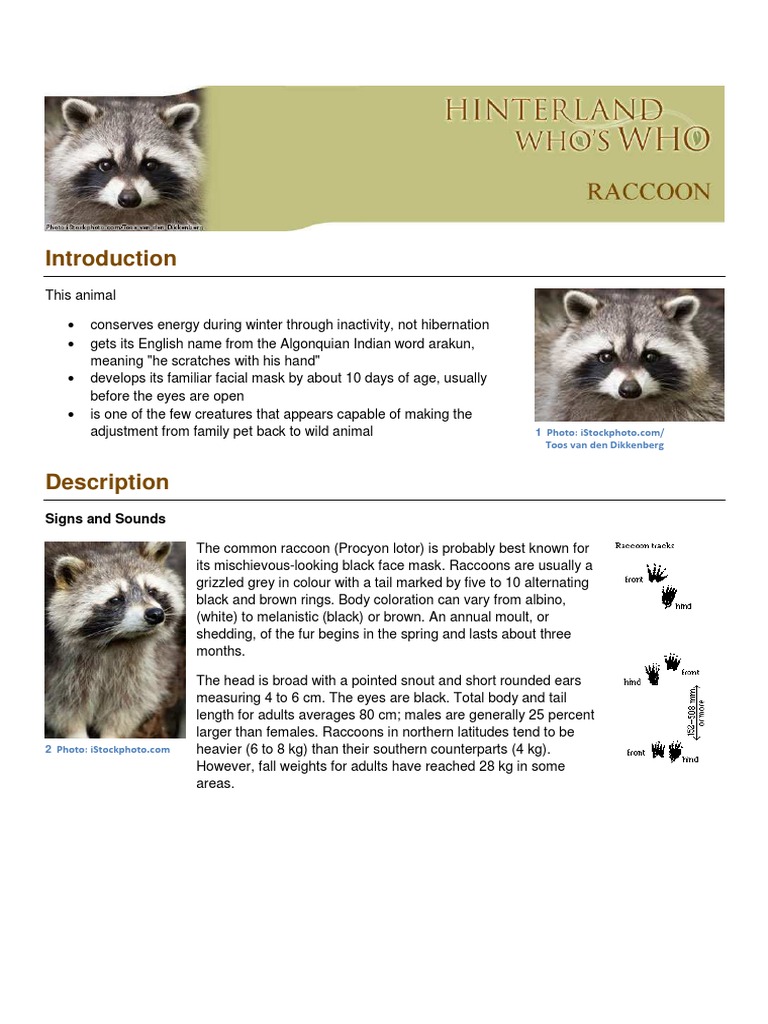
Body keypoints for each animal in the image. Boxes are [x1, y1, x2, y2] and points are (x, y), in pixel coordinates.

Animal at [45, 542, 185, 739]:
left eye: (151, 590)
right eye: (116, 599)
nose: (155, 614)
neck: (118, 640)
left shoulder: (147, 661)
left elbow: (129, 702)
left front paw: (112, 734)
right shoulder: (56, 660)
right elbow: (63, 704)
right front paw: (76, 733)